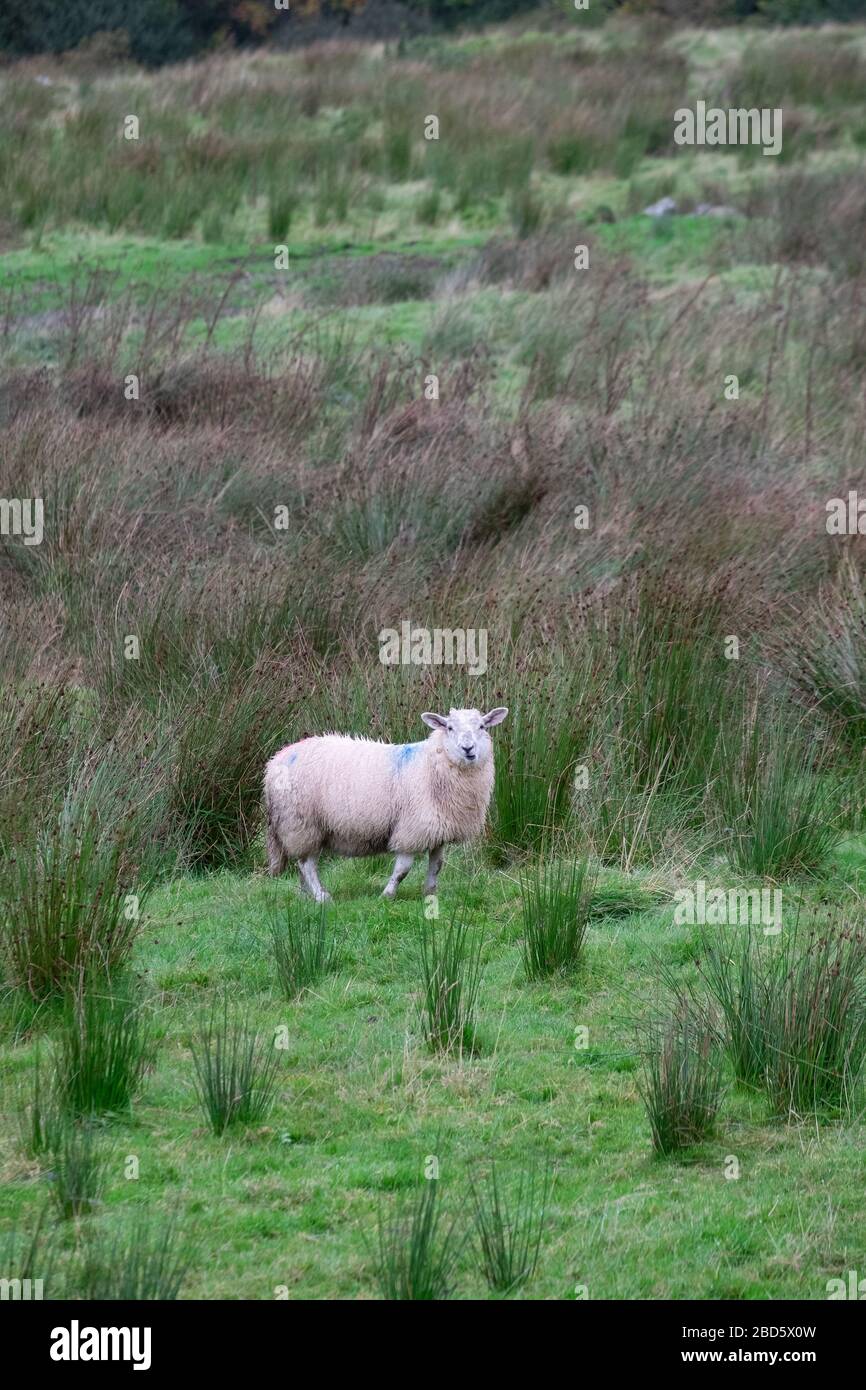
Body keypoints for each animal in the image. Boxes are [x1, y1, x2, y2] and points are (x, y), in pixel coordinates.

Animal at [263, 706, 508, 902]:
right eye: (449, 727)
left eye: (482, 726)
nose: (468, 748)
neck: (432, 765)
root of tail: (275, 760)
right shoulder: (411, 829)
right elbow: (402, 870)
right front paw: (387, 895)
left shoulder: (438, 829)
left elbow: (437, 866)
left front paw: (430, 893)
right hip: (301, 823)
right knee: (307, 864)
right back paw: (321, 896)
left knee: (302, 865)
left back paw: (305, 895)